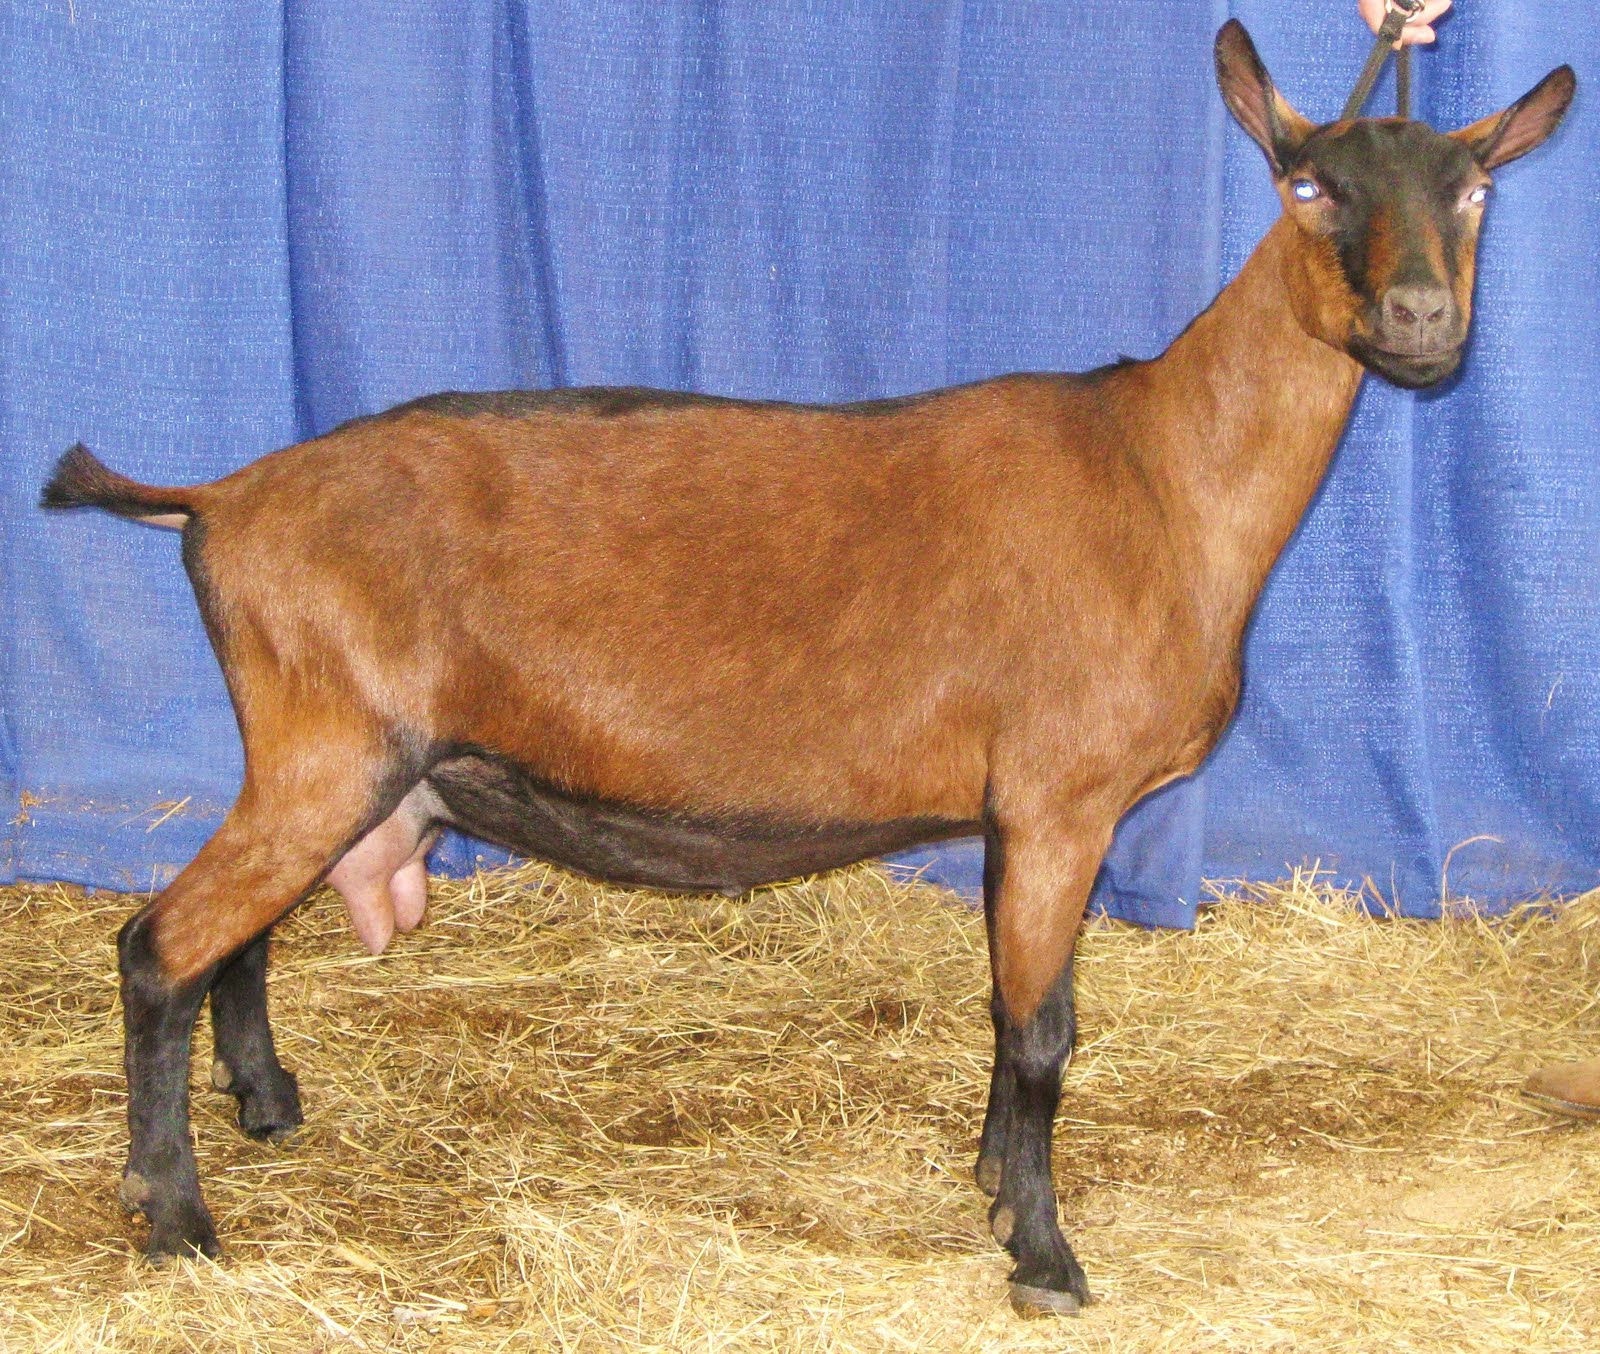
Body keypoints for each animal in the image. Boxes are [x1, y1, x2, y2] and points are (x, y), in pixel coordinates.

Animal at [38, 22, 1572, 1316]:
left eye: (1478, 191)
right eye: (1307, 186)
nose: (1423, 324)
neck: (1160, 475)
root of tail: (217, 500)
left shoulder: (1017, 814)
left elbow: (1011, 1015)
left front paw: (991, 1187)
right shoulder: (1061, 794)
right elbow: (1045, 1032)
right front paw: (1045, 1258)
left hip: (339, 759)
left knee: (239, 936)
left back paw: (268, 1105)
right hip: (324, 743)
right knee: (160, 946)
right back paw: (175, 1216)